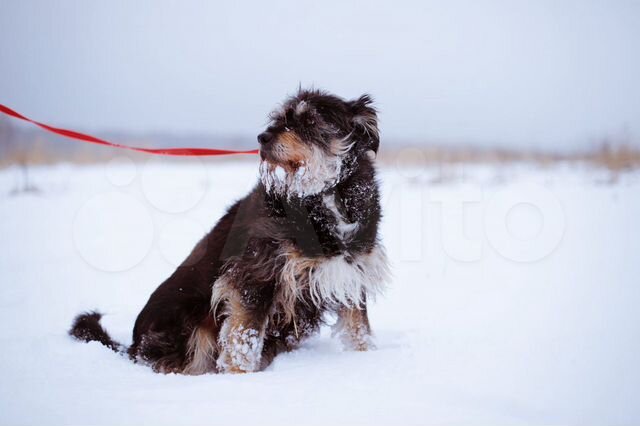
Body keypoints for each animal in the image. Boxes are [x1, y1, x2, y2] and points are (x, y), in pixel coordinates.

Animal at [70, 89, 390, 372]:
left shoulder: (352, 272)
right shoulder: (255, 274)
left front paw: (366, 359)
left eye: (310, 121)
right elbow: (244, 338)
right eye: (279, 118)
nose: (263, 138)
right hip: (190, 325)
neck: (322, 195)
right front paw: (240, 379)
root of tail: (132, 346)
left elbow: (358, 328)